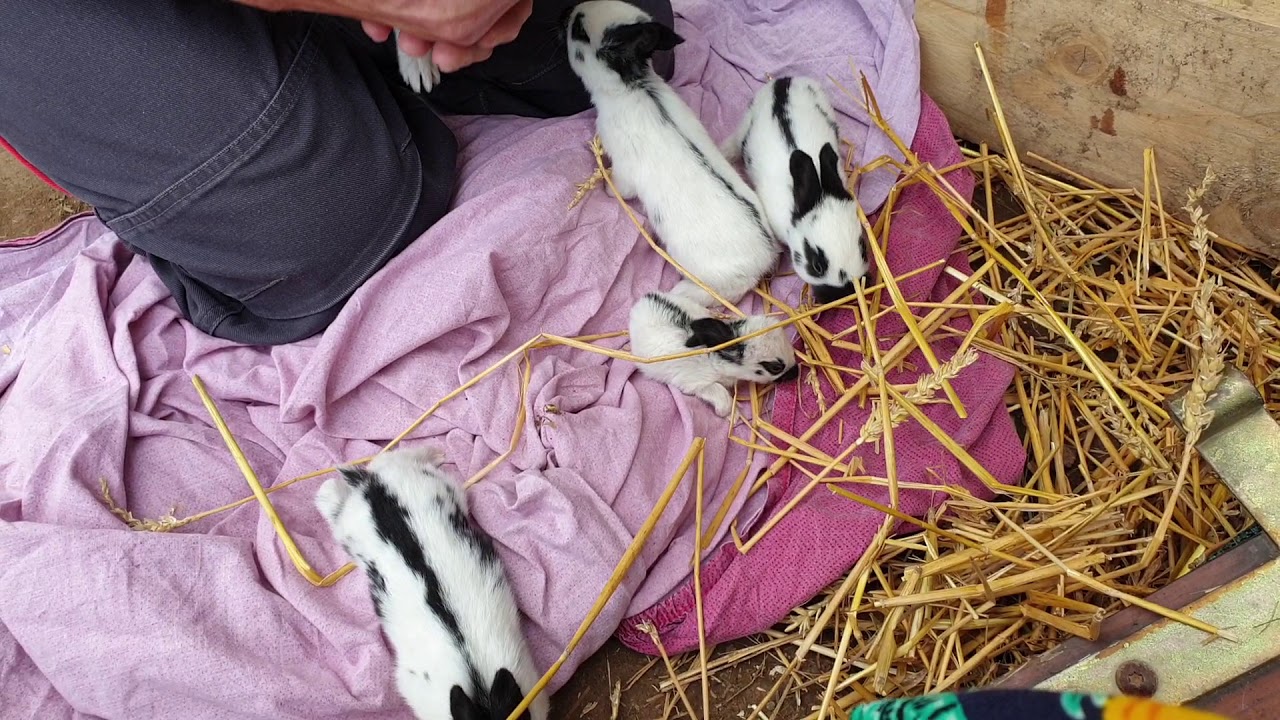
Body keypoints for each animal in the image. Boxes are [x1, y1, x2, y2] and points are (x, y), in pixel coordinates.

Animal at [566, 0, 781, 307]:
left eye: (580, 30)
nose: (569, 12)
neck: (635, 86)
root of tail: (767, 256)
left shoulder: (624, 168)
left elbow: (621, 187)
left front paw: (606, 188)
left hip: (718, 285)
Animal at [629, 291, 799, 416]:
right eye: (775, 367)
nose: (796, 371)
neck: (714, 358)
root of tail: (642, 302)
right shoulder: (697, 384)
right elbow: (722, 398)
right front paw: (732, 414)